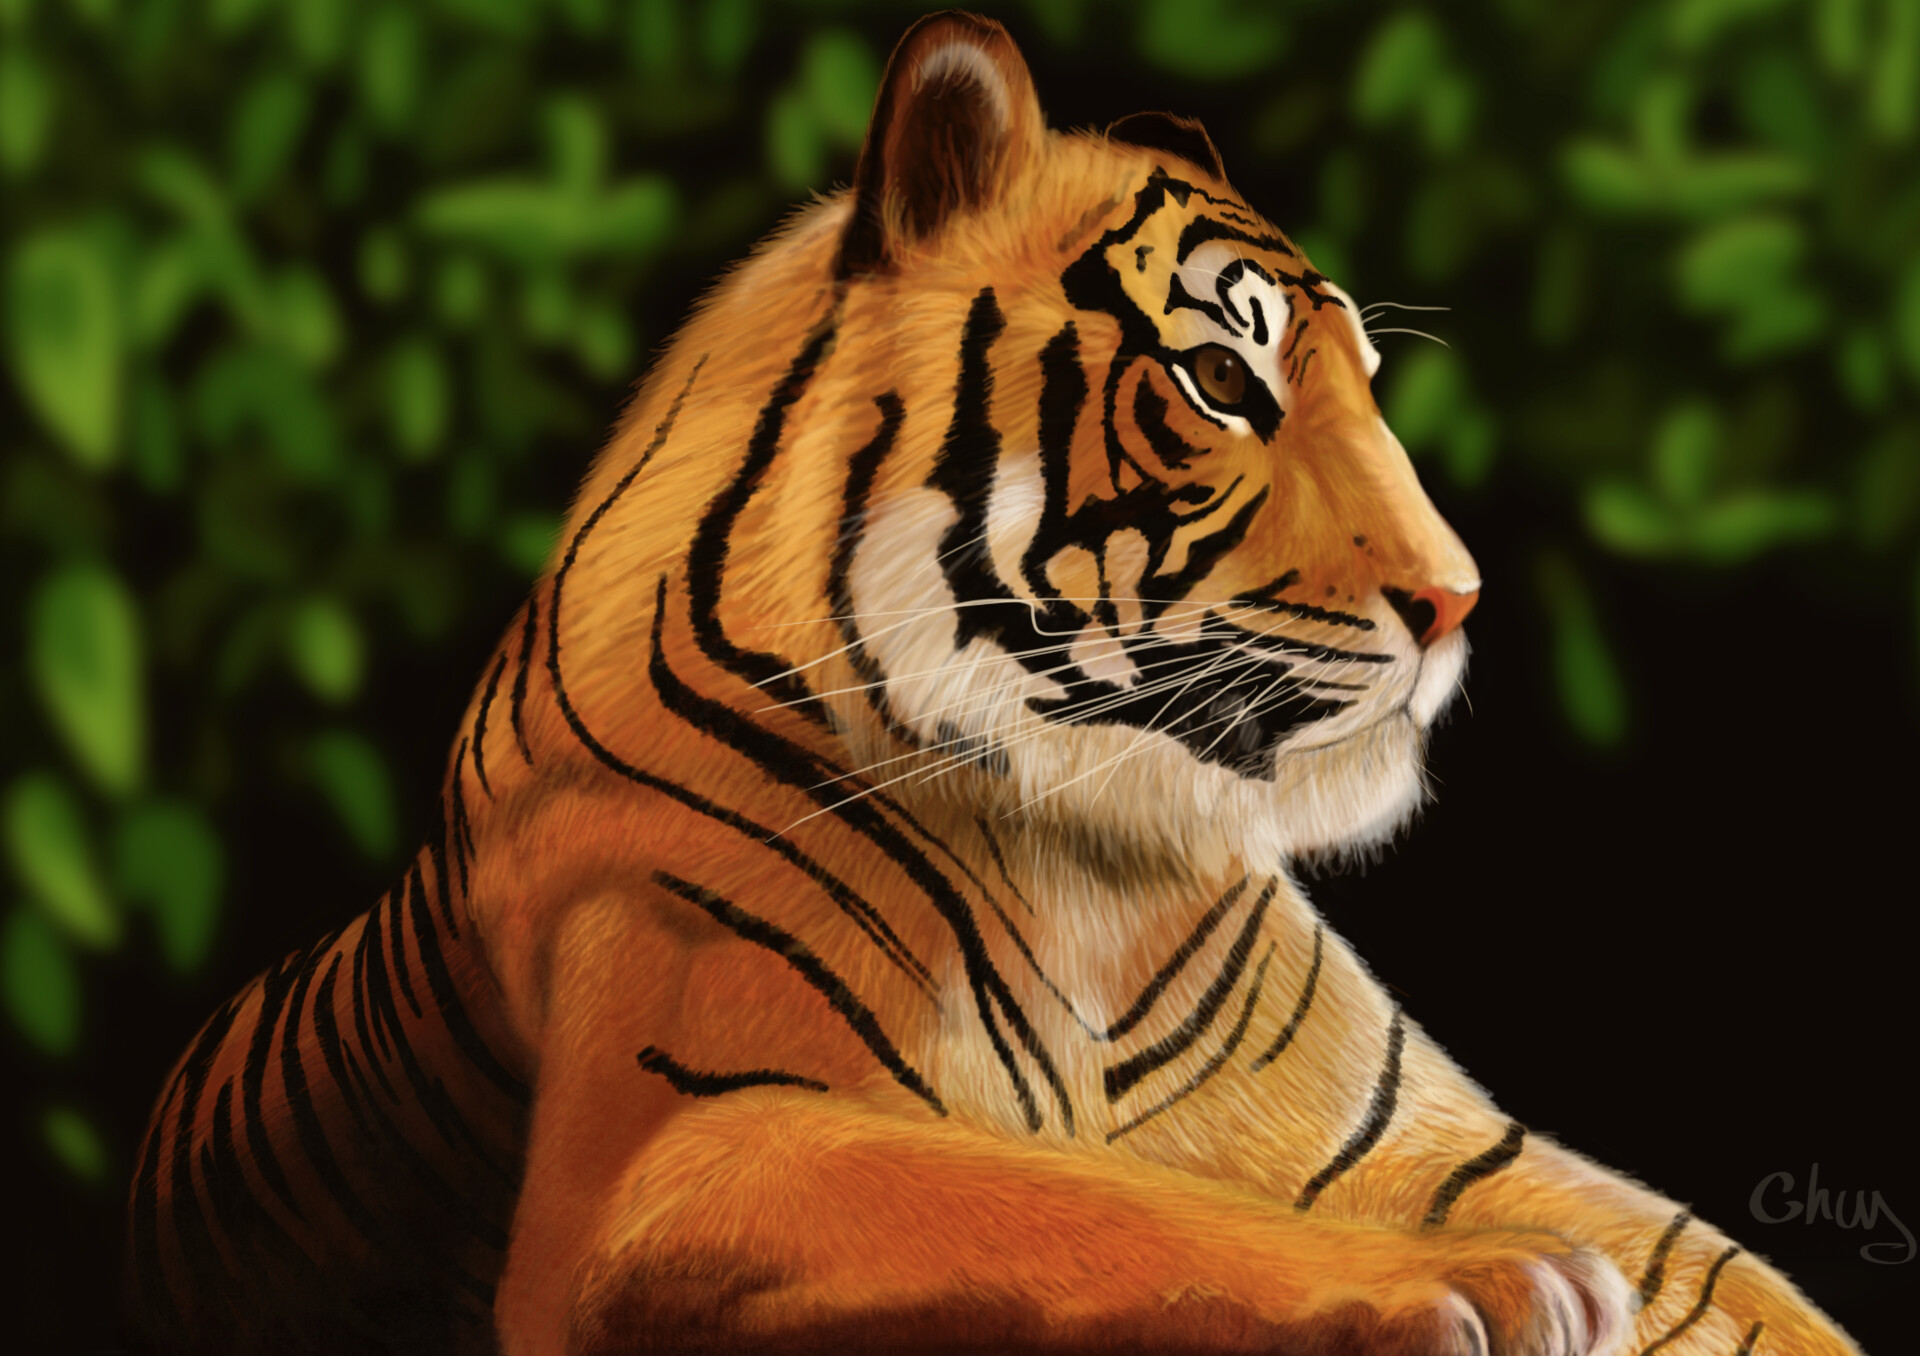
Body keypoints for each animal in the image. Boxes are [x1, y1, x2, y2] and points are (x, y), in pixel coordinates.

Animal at [126, 12, 1867, 1356]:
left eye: (1365, 384)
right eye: (1218, 380)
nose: (1457, 600)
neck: (1092, 863)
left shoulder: (1451, 1142)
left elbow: (1735, 1277)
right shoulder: (675, 1146)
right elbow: (1090, 1206)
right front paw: (1489, 1286)